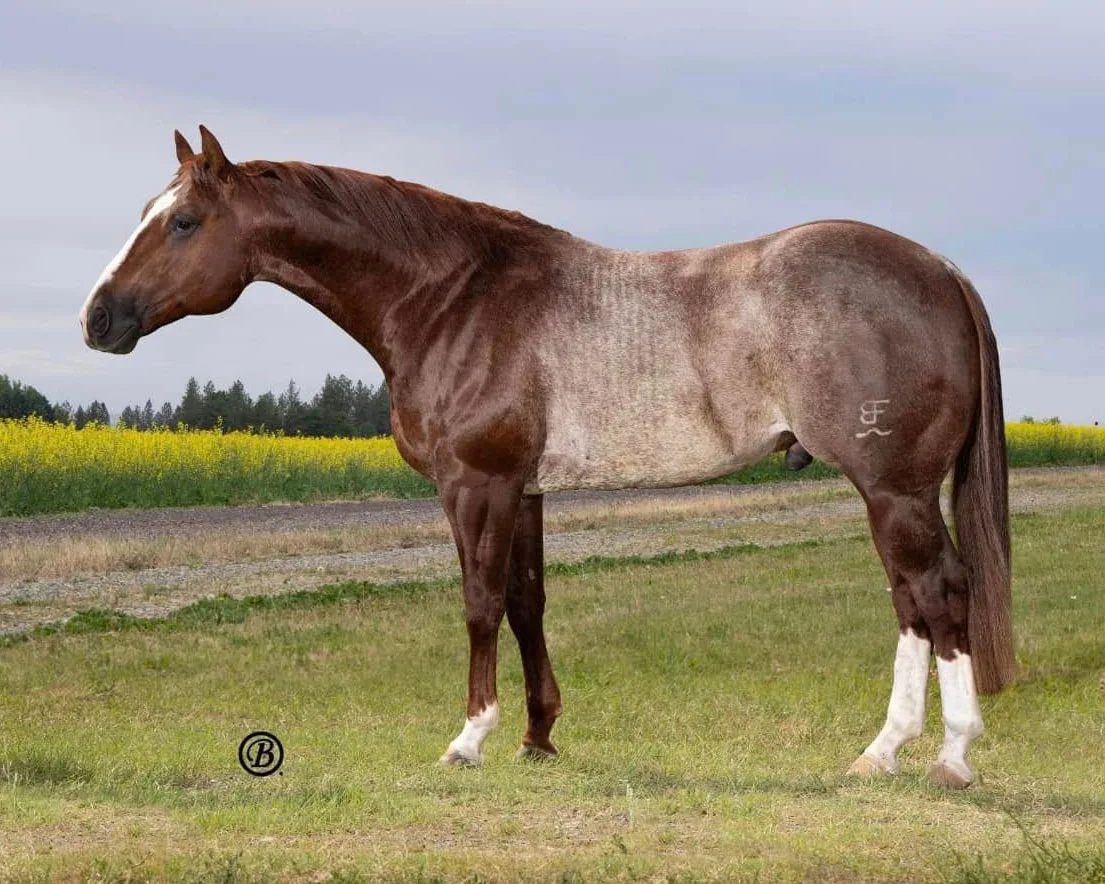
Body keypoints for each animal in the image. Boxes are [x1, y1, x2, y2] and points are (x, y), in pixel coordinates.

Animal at [81, 127, 1014, 788]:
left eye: (183, 222)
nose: (99, 318)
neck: (455, 298)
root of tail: (939, 269)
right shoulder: (524, 490)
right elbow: (527, 604)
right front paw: (537, 738)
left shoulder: (476, 485)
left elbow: (478, 605)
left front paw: (468, 739)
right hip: (890, 493)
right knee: (909, 604)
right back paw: (880, 754)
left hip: (893, 488)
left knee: (938, 593)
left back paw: (949, 756)